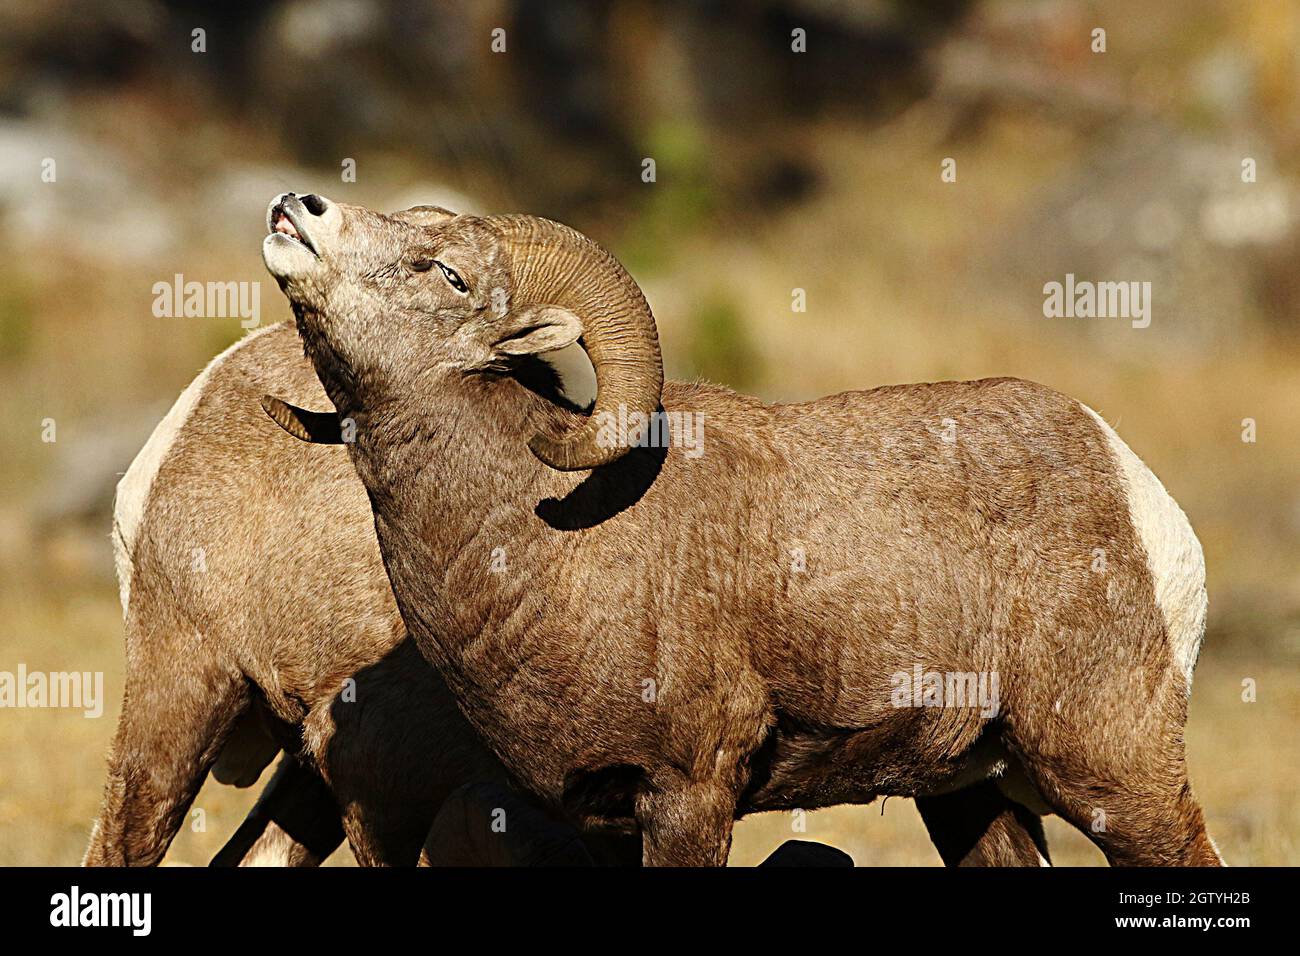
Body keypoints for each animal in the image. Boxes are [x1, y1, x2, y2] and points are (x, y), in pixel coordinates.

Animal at [259, 191, 1224, 868]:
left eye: (448, 274)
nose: (297, 209)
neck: (544, 547)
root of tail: (1132, 482)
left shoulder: (689, 794)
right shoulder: (606, 820)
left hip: (1110, 774)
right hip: (973, 796)